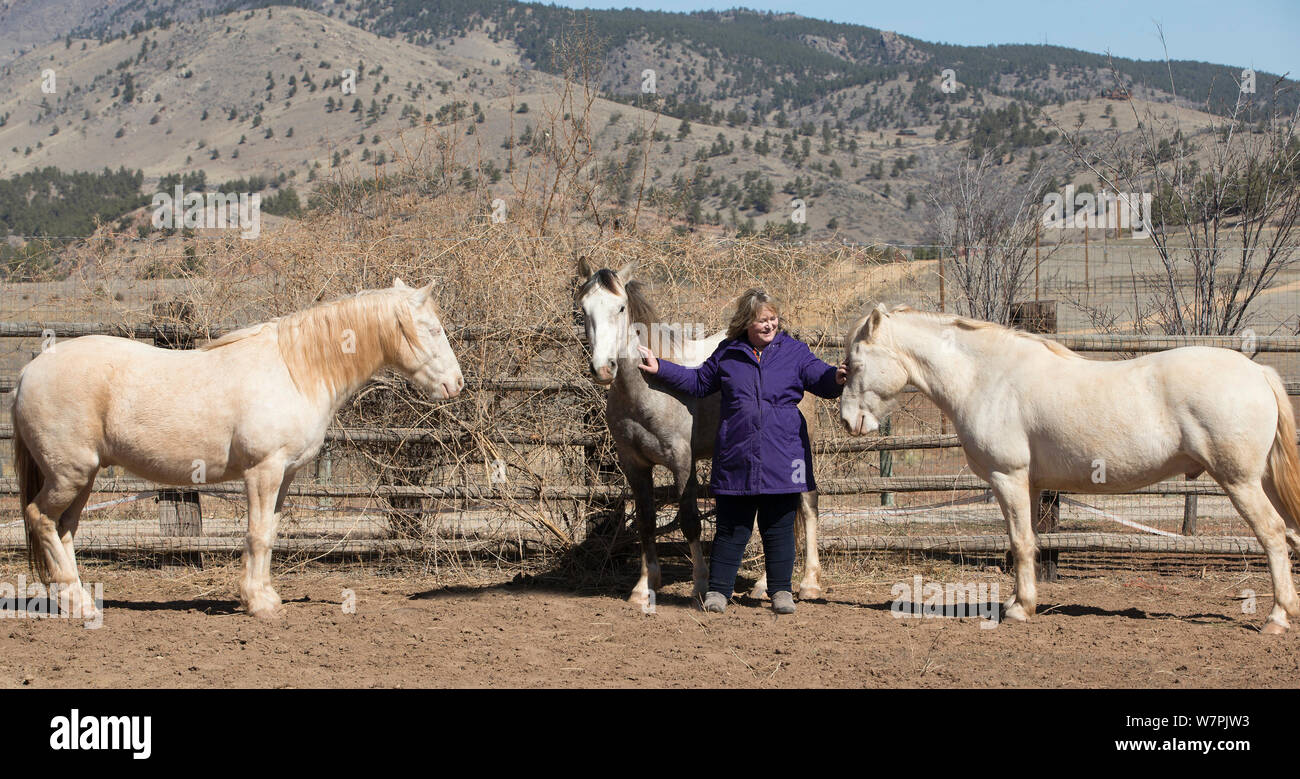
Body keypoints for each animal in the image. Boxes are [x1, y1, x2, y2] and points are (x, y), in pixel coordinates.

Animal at [11, 279, 464, 619]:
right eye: (432, 329)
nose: (456, 384)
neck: (295, 371)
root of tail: (28, 372)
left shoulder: (285, 476)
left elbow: (270, 532)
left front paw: (266, 597)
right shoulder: (263, 471)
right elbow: (257, 535)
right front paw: (258, 604)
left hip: (81, 477)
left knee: (64, 528)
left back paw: (77, 599)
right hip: (69, 474)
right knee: (41, 519)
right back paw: (79, 603)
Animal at [839, 303, 1300, 633]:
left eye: (856, 365)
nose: (847, 422)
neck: (986, 377)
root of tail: (1257, 371)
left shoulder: (1008, 478)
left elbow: (1021, 542)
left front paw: (1019, 610)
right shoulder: (1027, 484)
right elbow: (1026, 542)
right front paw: (1017, 602)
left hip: (1240, 482)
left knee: (1273, 535)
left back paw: (1276, 618)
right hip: (1261, 481)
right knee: (1290, 533)